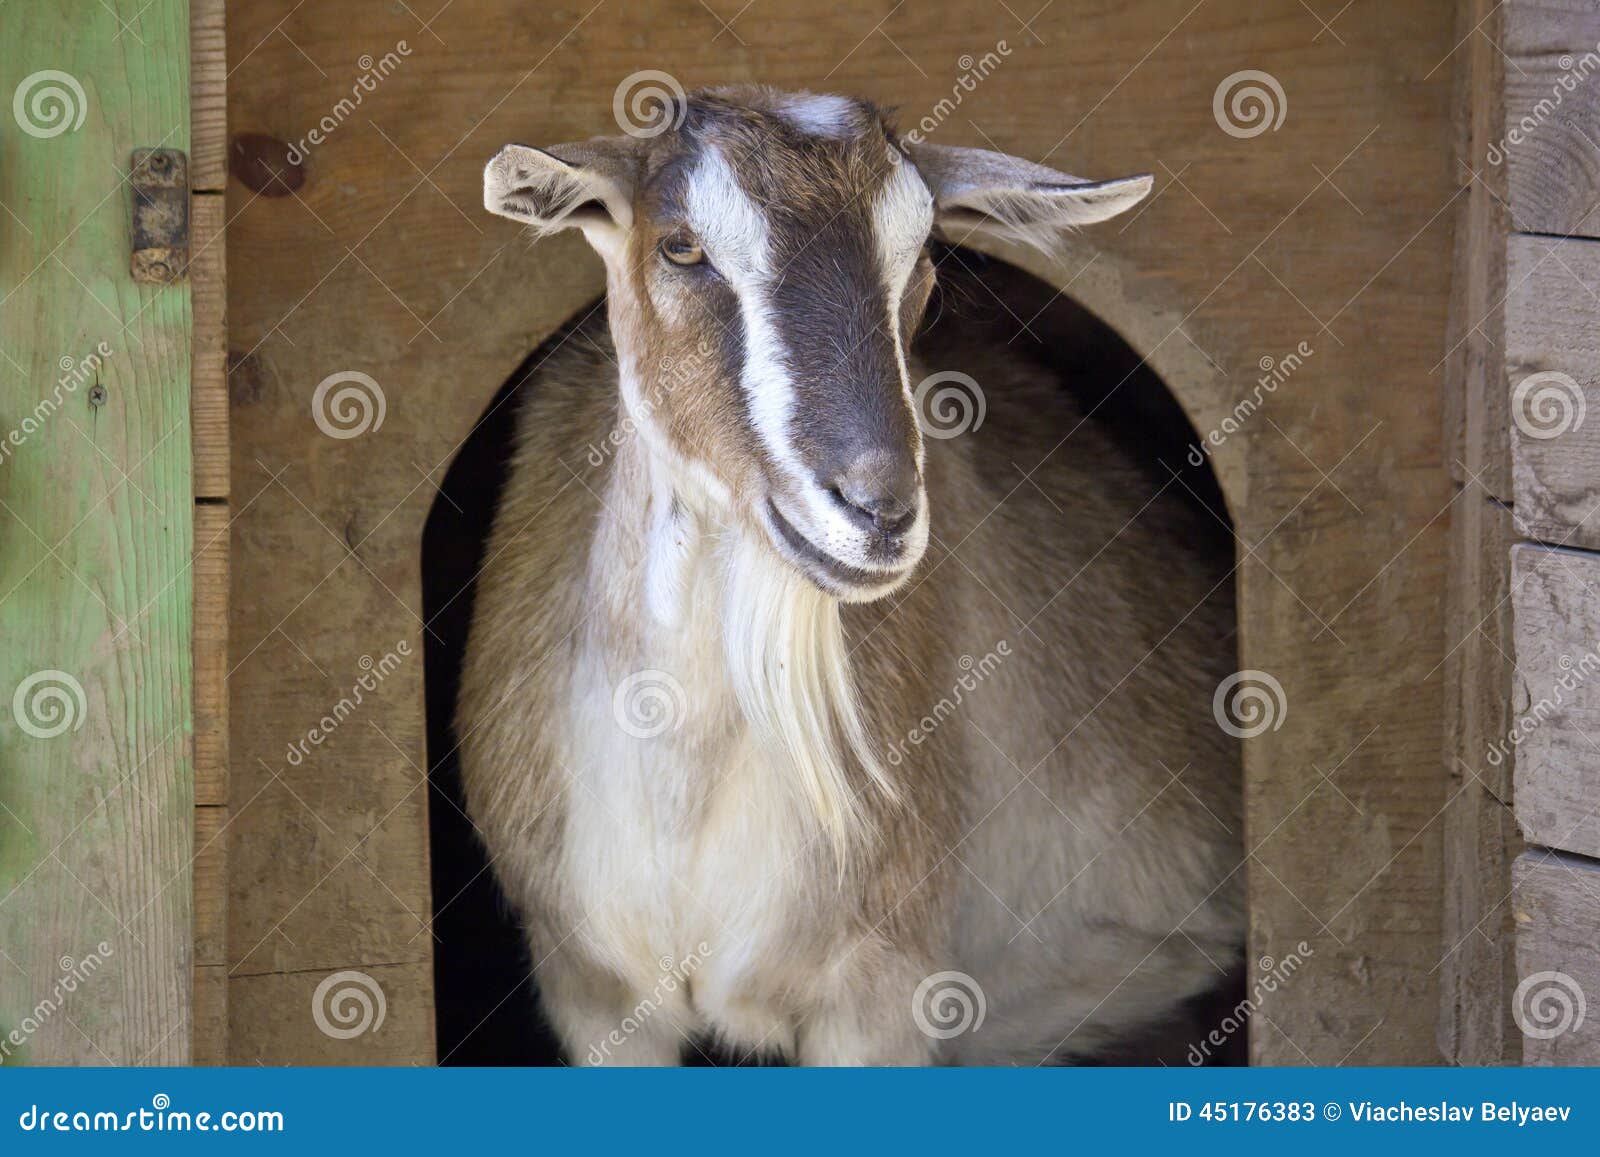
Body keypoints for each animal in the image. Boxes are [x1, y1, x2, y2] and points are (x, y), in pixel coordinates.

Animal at [460, 86, 1243, 1065]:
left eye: (924, 264)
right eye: (680, 245)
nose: (878, 508)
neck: (685, 793)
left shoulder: (882, 985)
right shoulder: (593, 991)